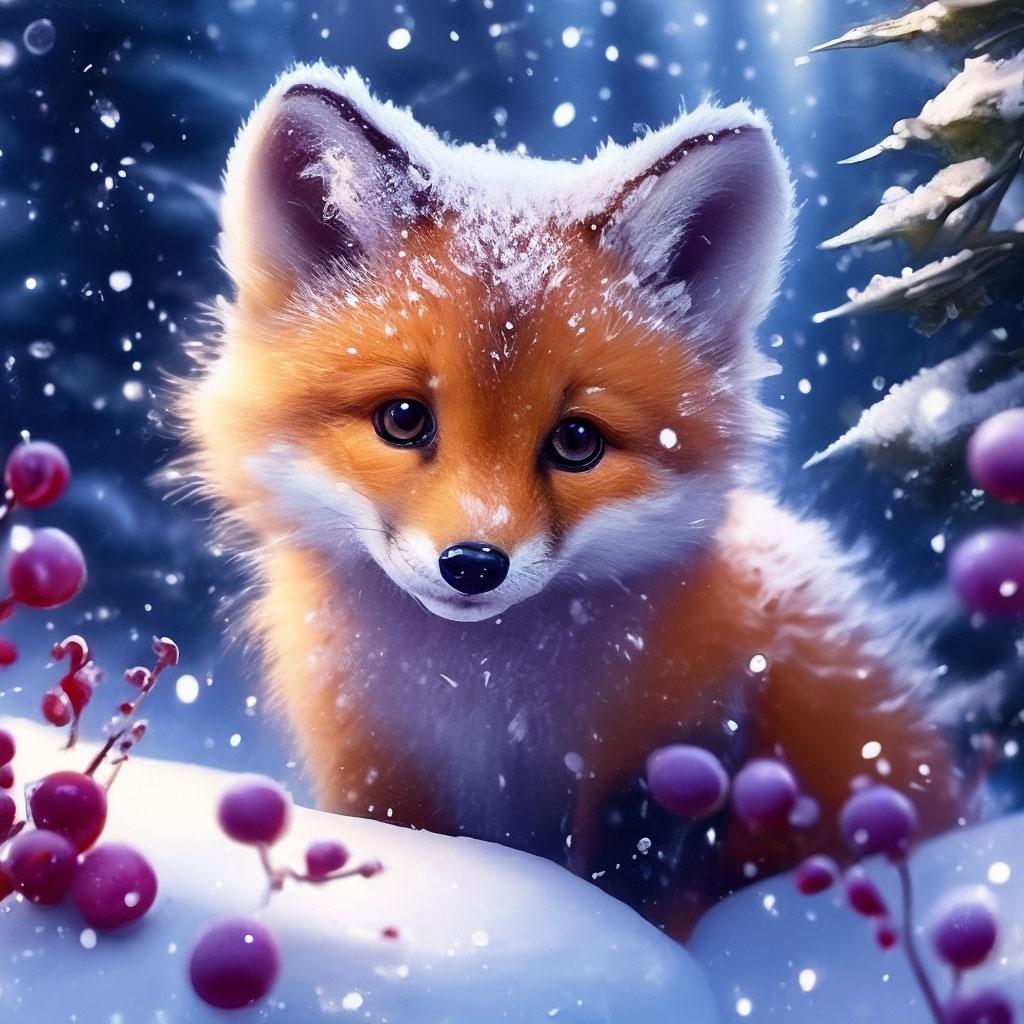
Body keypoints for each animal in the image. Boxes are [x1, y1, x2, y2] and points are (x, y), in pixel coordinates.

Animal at [181, 63, 958, 934]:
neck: (486, 699)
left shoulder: (673, 748)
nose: (473, 564)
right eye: (404, 420)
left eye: (577, 441)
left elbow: (635, 899)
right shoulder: (374, 770)